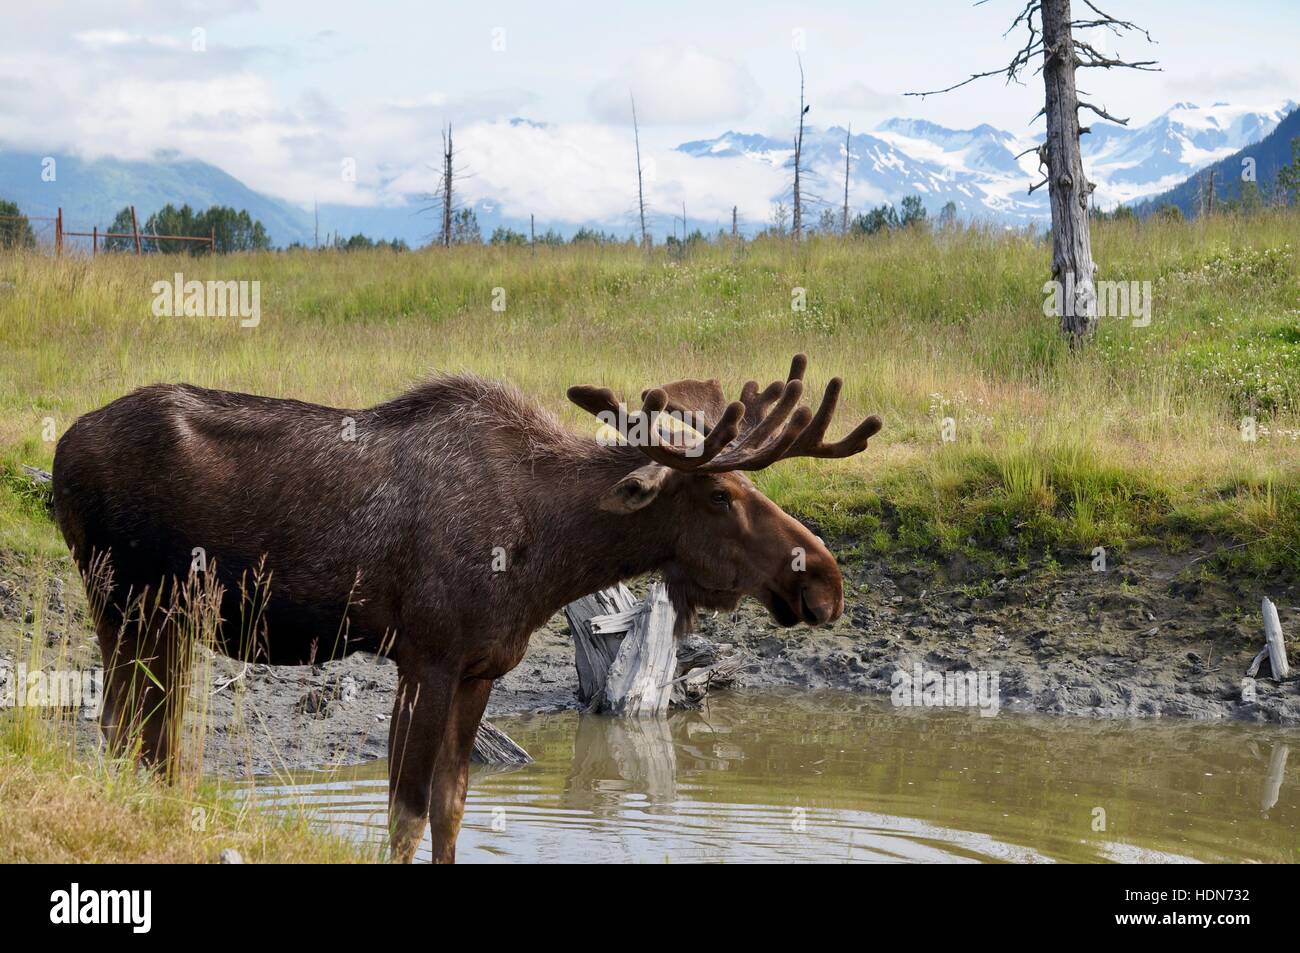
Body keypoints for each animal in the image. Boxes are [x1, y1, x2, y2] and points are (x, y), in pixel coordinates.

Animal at [51, 354, 881, 863]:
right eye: (719, 494)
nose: (825, 581)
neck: (549, 554)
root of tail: (59, 448)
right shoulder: (429, 656)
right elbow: (407, 810)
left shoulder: (482, 667)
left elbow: (451, 807)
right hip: (117, 600)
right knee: (121, 729)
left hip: (165, 618)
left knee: (153, 743)